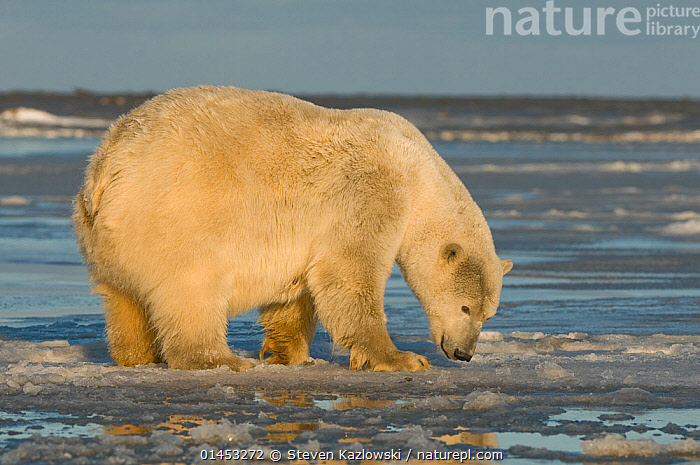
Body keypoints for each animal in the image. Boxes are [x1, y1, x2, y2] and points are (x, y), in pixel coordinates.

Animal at [73, 86, 512, 372]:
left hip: (109, 239)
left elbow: (296, 291)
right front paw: (402, 358)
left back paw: (136, 357)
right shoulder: (372, 192)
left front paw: (296, 356)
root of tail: (106, 168)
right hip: (175, 217)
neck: (419, 174)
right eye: (466, 307)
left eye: (488, 315)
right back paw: (220, 360)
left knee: (123, 299)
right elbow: (350, 276)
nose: (464, 354)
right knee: (192, 288)